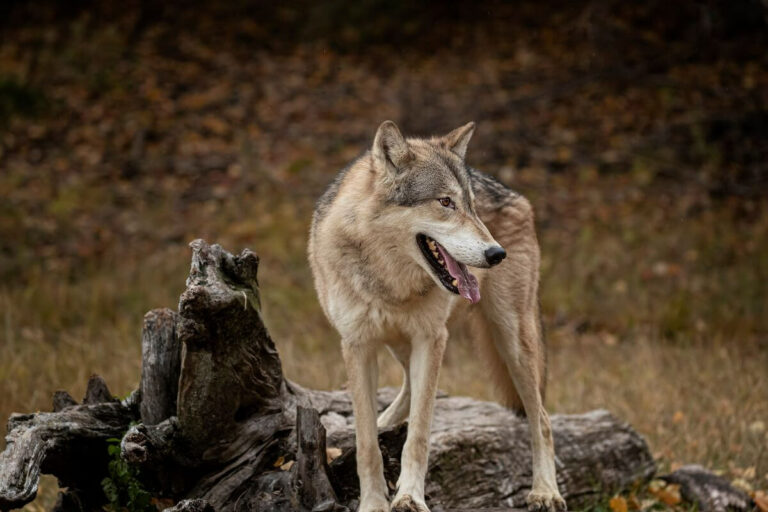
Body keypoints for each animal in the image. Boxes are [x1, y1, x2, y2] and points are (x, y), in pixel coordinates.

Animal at [308, 121, 565, 512]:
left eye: (471, 205)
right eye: (445, 202)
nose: (497, 253)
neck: (390, 280)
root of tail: (516, 195)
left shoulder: (431, 339)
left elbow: (419, 433)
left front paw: (409, 496)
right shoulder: (357, 345)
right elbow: (367, 444)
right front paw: (374, 502)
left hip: (511, 339)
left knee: (543, 417)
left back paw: (546, 491)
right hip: (402, 344)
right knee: (405, 389)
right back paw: (377, 425)